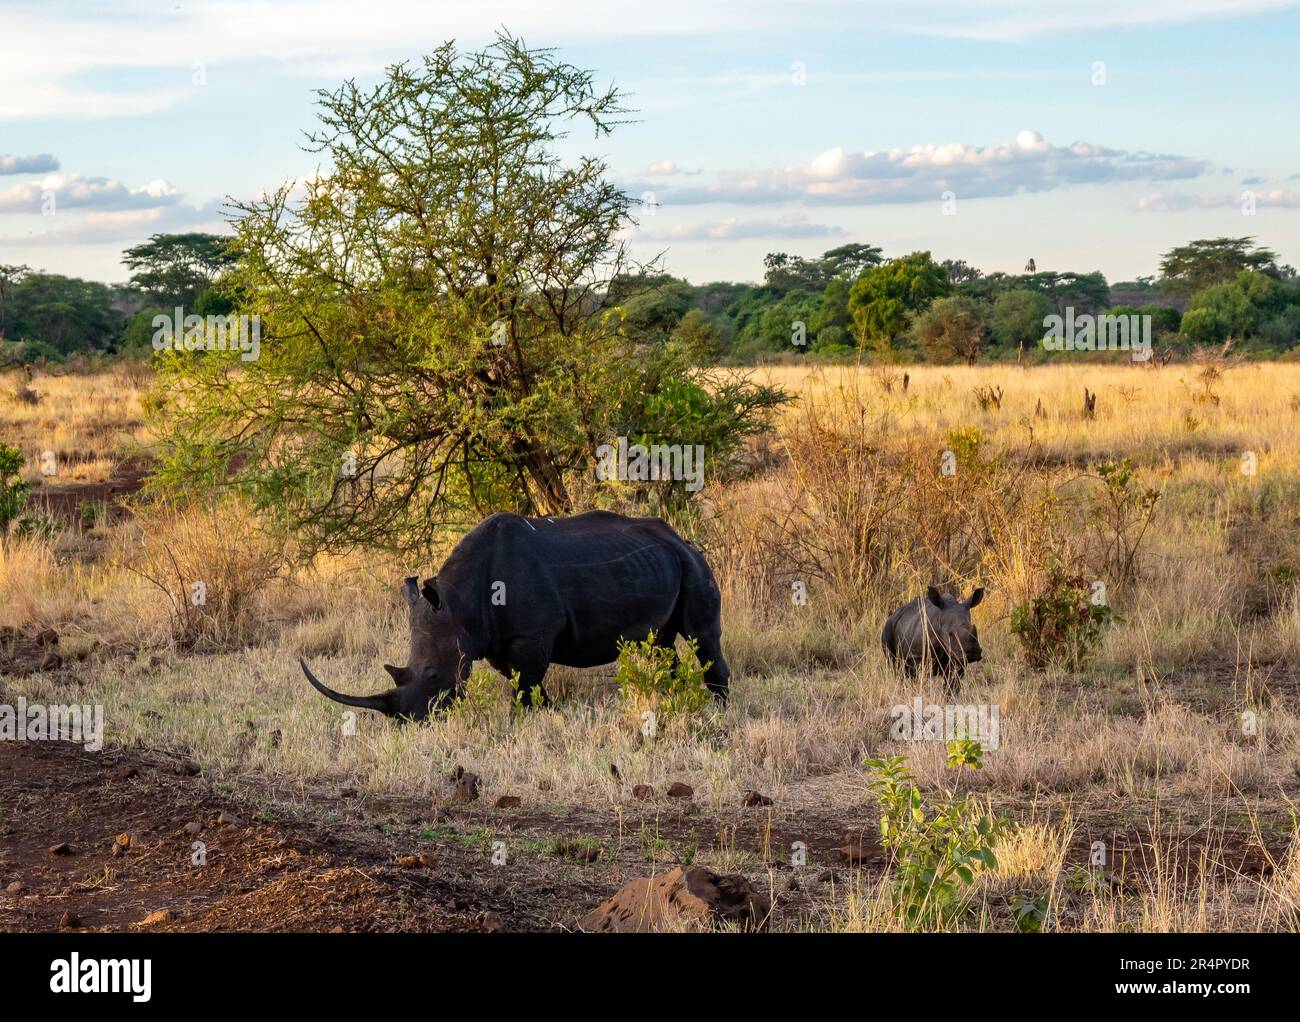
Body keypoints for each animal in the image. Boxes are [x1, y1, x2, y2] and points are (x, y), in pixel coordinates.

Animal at [300, 510, 729, 720]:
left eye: (434, 675)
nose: (410, 720)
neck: (460, 603)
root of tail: (679, 537)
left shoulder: (531, 634)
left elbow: (526, 684)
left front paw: (519, 722)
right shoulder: (492, 639)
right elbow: (526, 683)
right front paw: (550, 715)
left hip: (694, 564)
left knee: (701, 636)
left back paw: (719, 711)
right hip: (661, 564)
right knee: (661, 644)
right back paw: (670, 698)